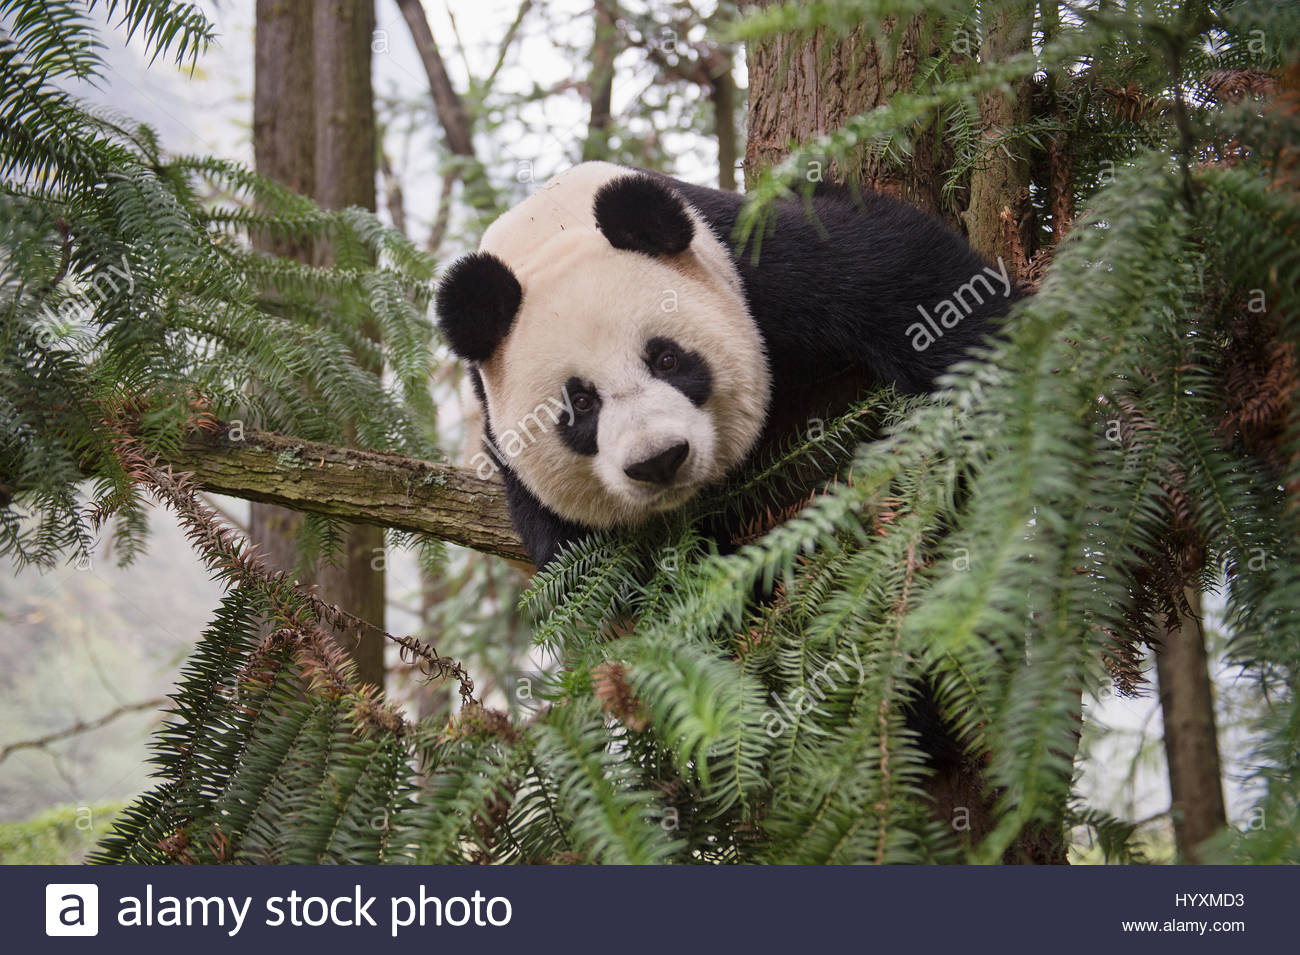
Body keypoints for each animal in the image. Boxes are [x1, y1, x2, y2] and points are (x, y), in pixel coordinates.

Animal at [435, 162, 1015, 567]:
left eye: (667, 359)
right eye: (579, 403)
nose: (659, 460)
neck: (545, 230)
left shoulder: (746, 264)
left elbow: (906, 282)